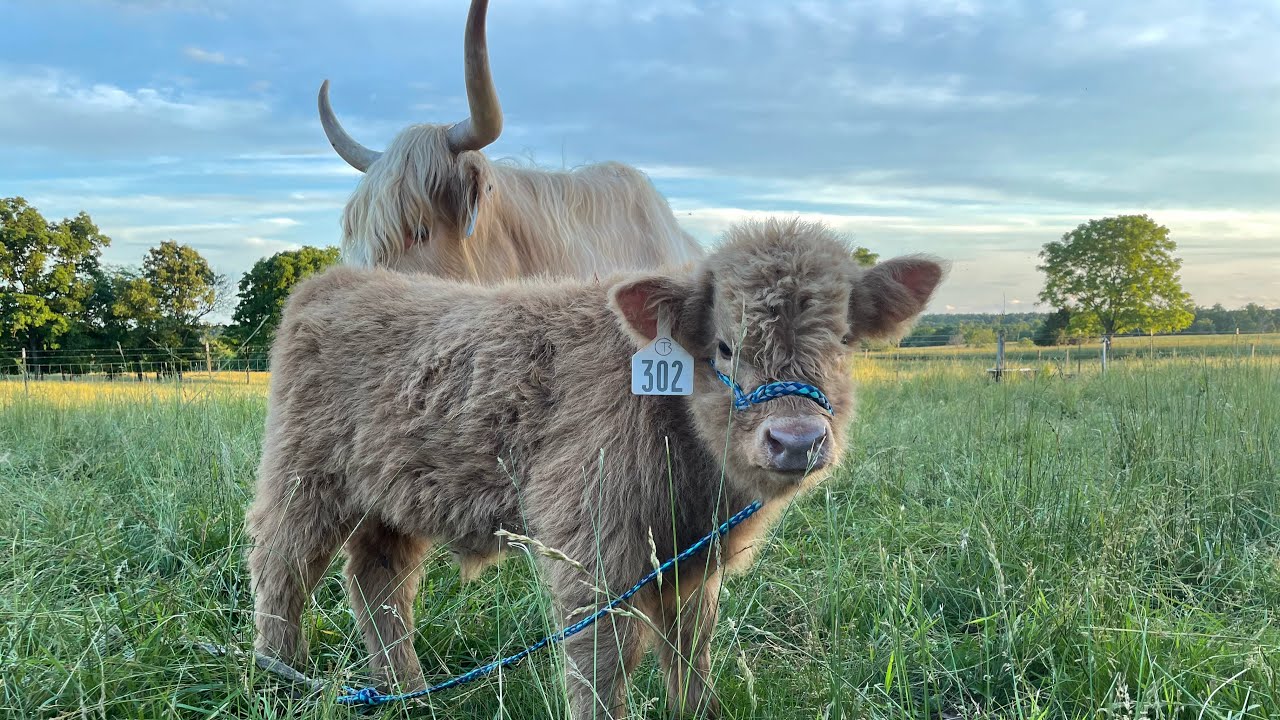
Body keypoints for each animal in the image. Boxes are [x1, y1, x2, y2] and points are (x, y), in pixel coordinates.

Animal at [244, 218, 945, 718]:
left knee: (376, 580)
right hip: (305, 475)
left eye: (844, 342)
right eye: (723, 346)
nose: (796, 440)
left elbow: (691, 646)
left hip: (396, 495)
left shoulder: (690, 558)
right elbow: (603, 659)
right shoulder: (596, 544)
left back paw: (404, 690)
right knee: (282, 565)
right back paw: (281, 677)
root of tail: (334, 282)